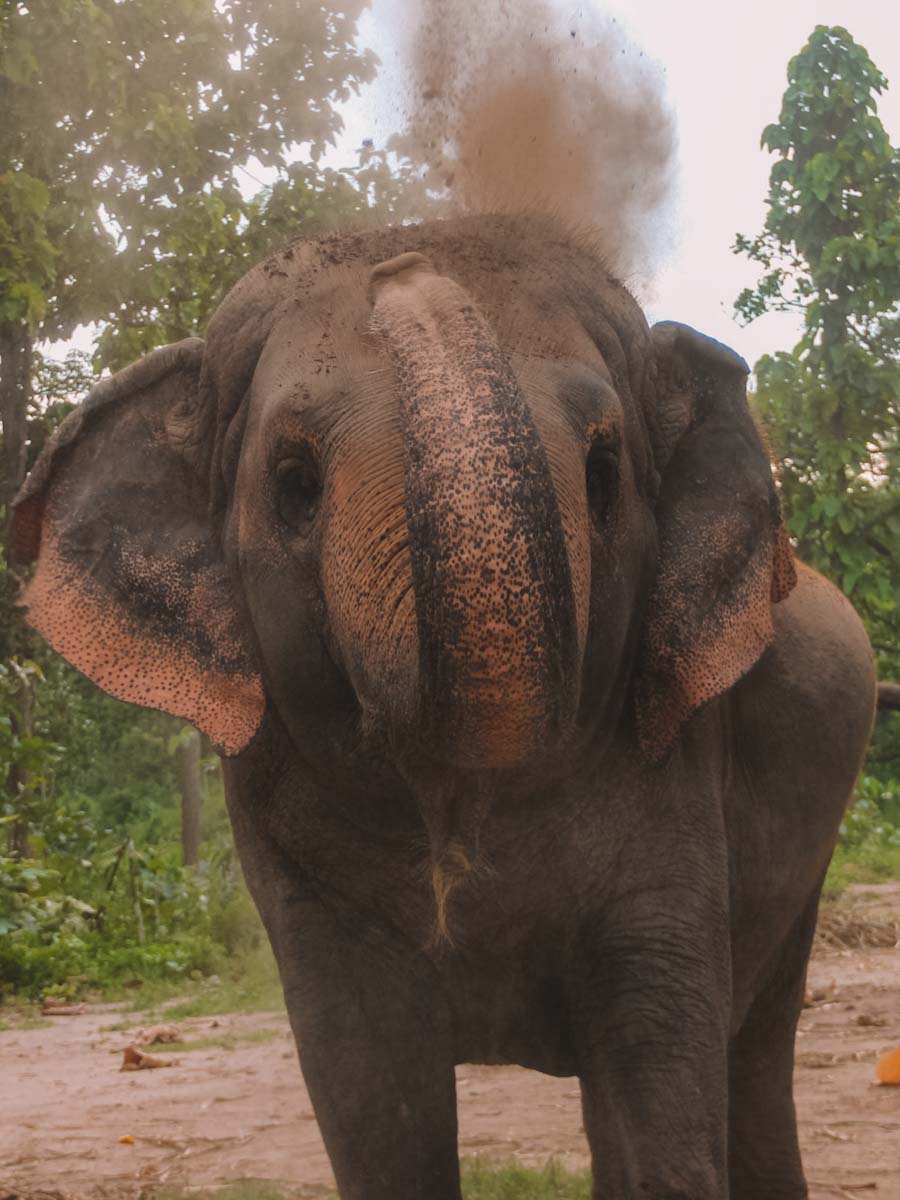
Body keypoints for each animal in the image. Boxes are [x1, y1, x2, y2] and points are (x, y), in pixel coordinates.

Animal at [11, 214, 876, 1199]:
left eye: (605, 472)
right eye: (295, 482)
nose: (401, 256)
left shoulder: (678, 764)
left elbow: (660, 1061)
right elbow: (369, 1079)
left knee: (754, 1051)